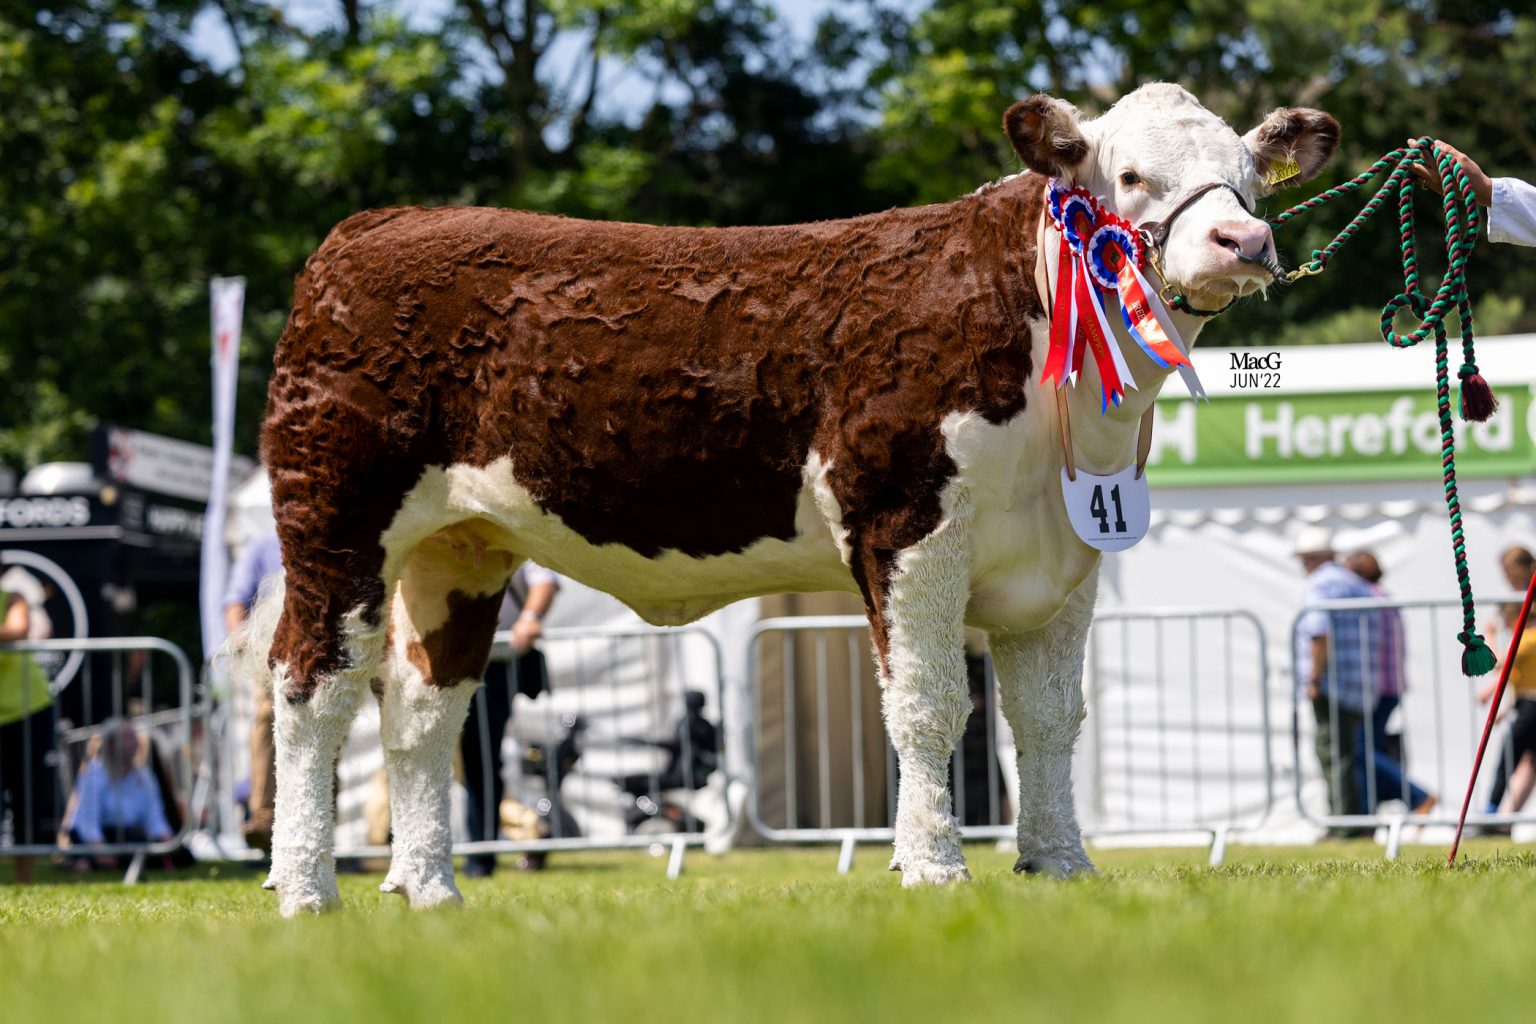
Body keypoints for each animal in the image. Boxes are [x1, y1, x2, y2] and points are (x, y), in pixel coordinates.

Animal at [233, 82, 1339, 914]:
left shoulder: (1064, 558)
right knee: (313, 687)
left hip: (457, 549)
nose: (1242, 241)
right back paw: (305, 888)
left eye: (1247, 175)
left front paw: (1060, 865)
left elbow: (1048, 719)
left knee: (423, 711)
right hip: (335, 518)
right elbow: (931, 709)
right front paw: (933, 865)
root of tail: (374, 228)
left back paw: (428, 889)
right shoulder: (905, 524)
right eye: (1132, 175)